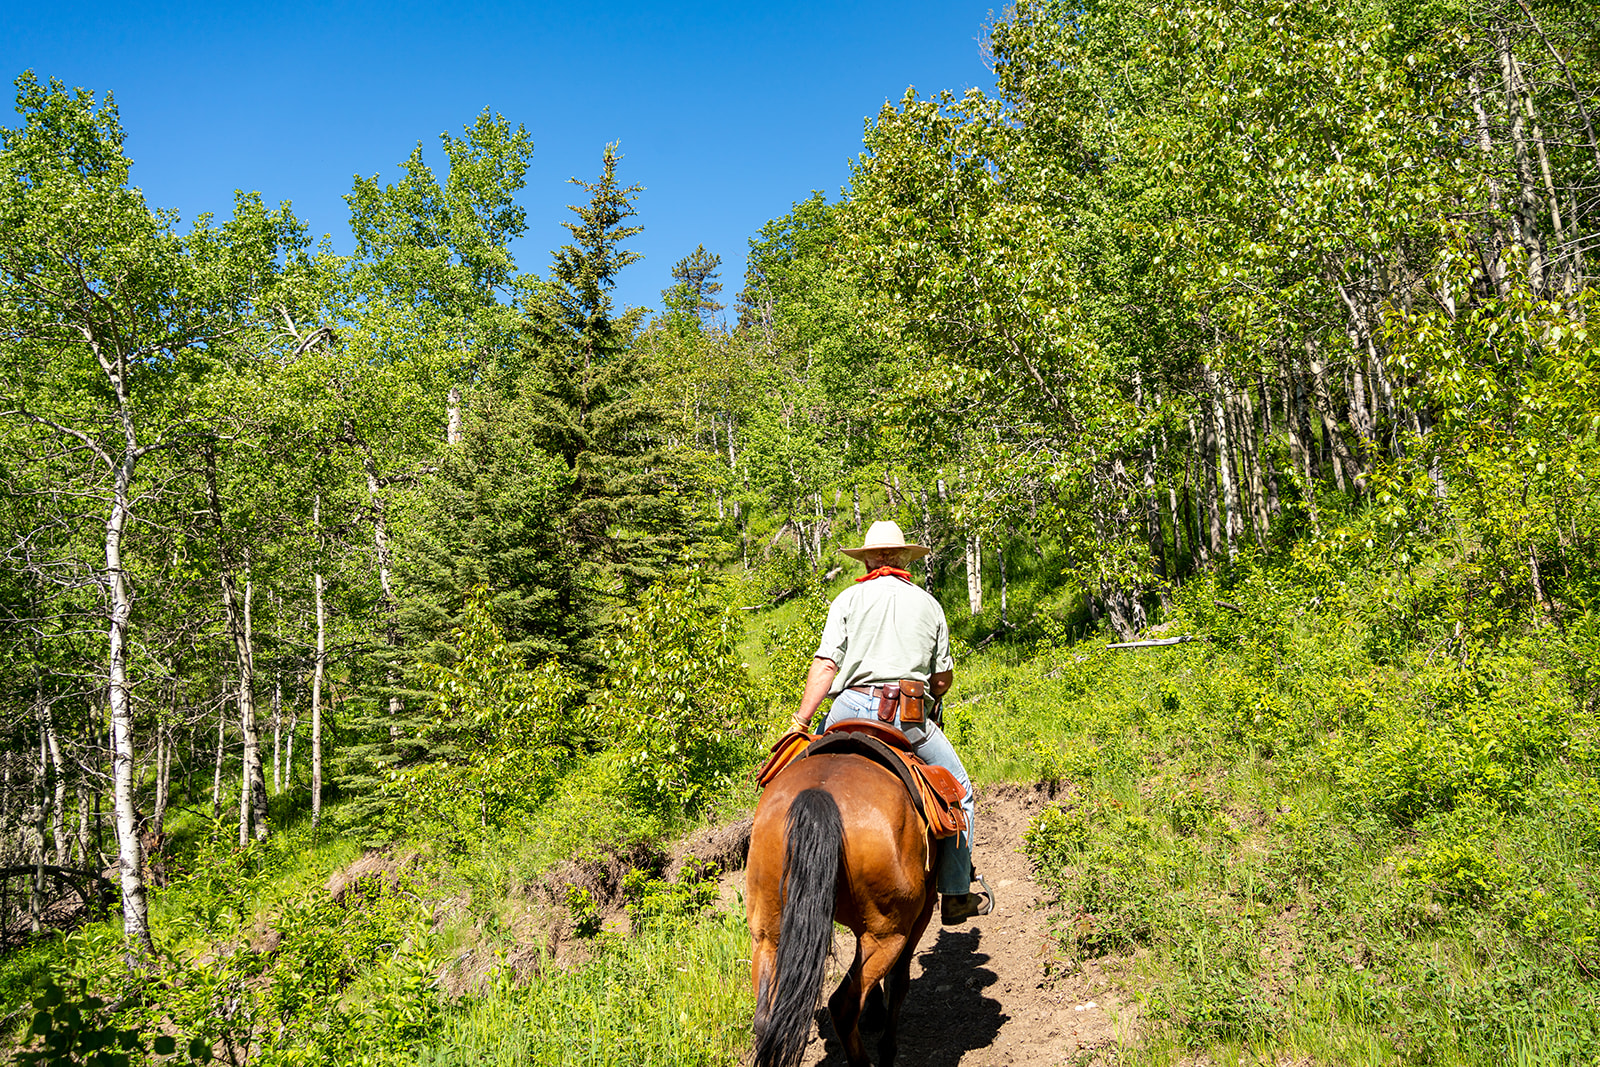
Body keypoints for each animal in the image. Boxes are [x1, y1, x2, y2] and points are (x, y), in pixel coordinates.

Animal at [746, 749, 936, 1067]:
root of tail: (820, 793)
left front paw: (874, 1013)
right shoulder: (921, 913)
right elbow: (899, 981)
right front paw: (887, 1046)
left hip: (767, 934)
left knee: (766, 1018)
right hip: (889, 934)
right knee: (843, 1006)